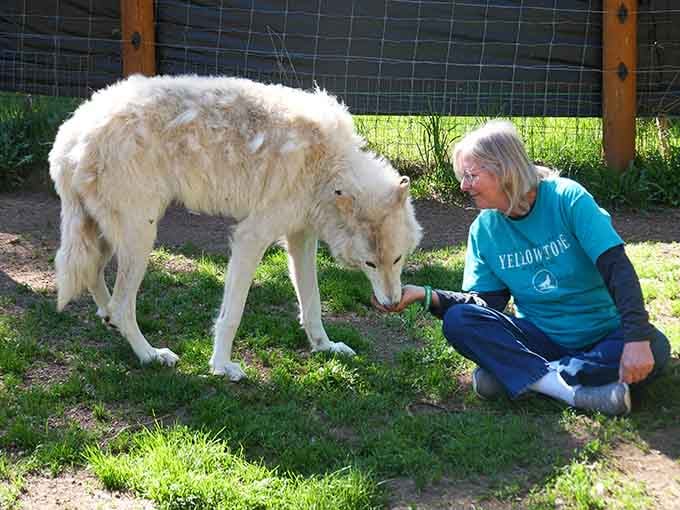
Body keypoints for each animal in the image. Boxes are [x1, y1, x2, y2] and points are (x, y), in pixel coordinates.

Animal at [49, 74, 422, 381]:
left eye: (397, 259)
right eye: (370, 263)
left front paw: (324, 347)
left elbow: (312, 304)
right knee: (122, 306)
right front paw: (221, 366)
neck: (328, 165)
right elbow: (232, 314)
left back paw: (108, 320)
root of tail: (70, 133)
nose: (392, 304)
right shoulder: (250, 239)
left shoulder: (301, 238)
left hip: (106, 236)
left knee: (94, 278)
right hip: (141, 238)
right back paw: (151, 355)